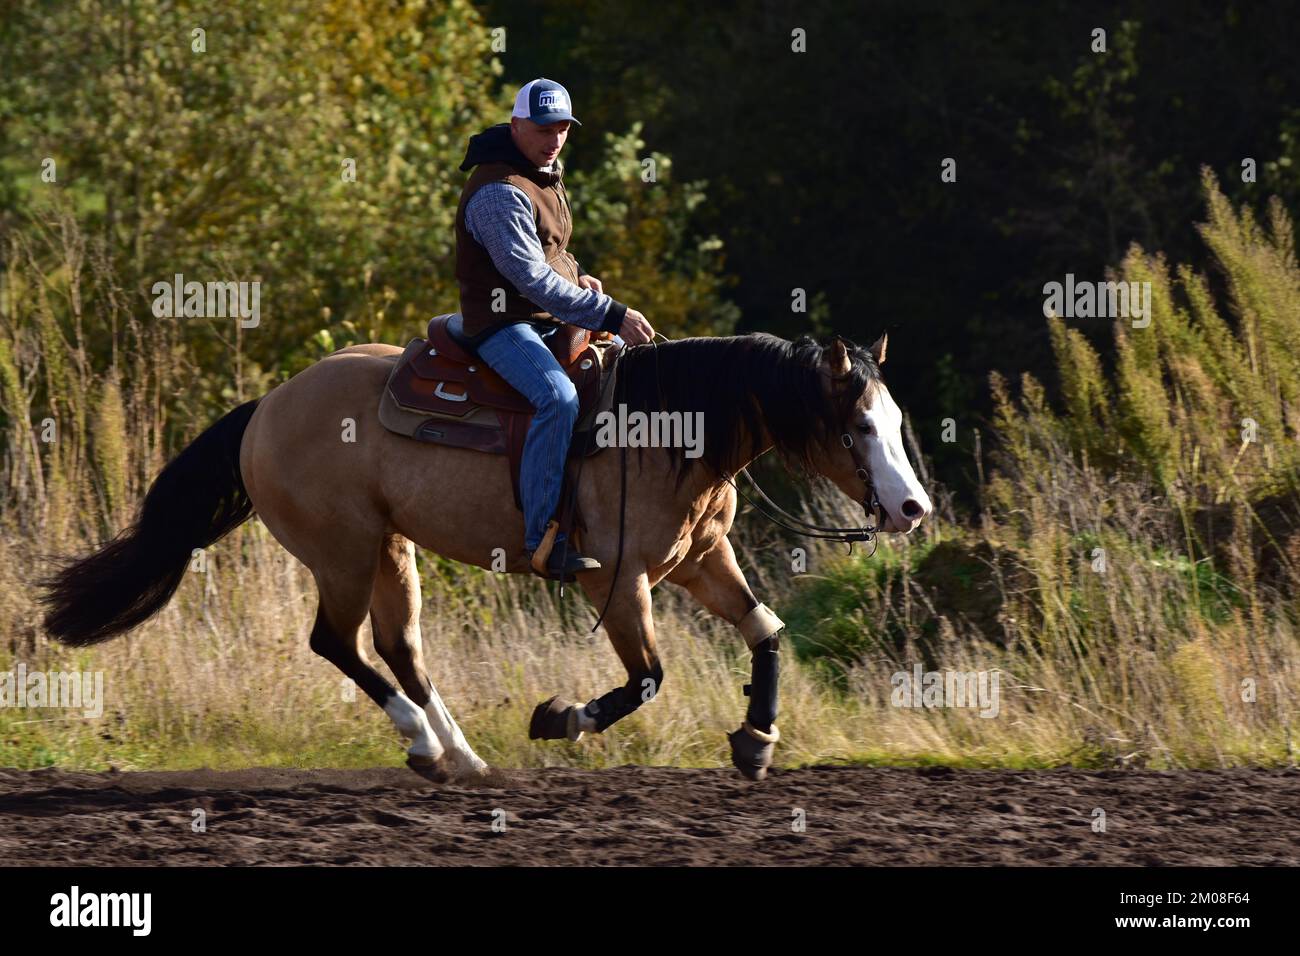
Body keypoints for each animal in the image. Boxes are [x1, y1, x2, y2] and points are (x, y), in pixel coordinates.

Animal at [39, 331, 932, 781]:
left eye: (893, 420)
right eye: (857, 425)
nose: (912, 509)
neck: (665, 431)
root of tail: (268, 406)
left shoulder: (700, 561)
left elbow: (766, 633)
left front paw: (756, 740)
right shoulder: (619, 583)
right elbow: (647, 677)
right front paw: (559, 719)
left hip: (392, 549)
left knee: (399, 646)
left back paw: (460, 754)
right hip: (342, 551)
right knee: (338, 642)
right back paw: (425, 744)